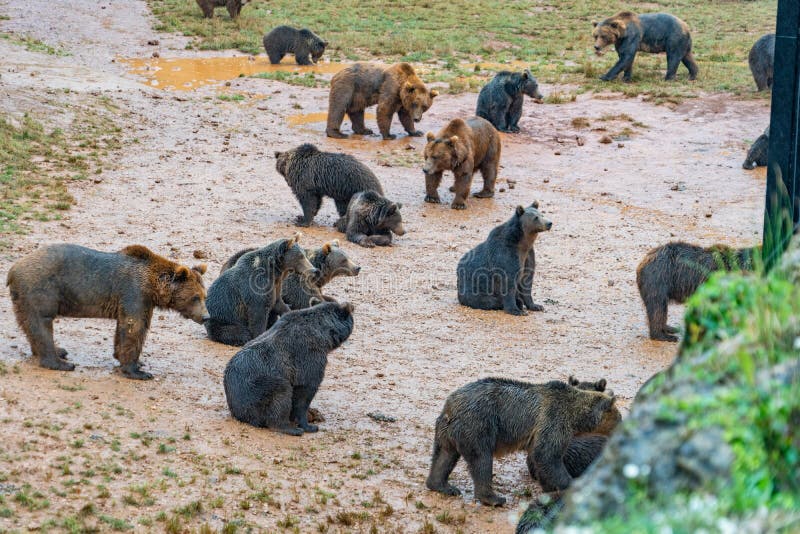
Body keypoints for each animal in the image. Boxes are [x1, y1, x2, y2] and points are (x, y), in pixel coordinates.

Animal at [6, 244, 208, 380]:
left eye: (204, 295)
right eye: (195, 297)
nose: (206, 316)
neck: (153, 287)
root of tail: (13, 270)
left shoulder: (141, 301)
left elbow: (125, 328)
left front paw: (131, 359)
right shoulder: (134, 293)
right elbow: (134, 328)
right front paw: (139, 371)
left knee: (30, 325)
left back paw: (58, 351)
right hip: (41, 290)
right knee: (42, 324)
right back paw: (60, 362)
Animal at [223, 299, 354, 435]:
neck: (324, 336)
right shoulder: (308, 355)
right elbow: (304, 391)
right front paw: (308, 425)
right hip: (258, 388)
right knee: (281, 394)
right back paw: (291, 428)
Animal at [425, 377, 621, 506]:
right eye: (619, 417)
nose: (622, 425)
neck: (577, 417)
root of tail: (450, 407)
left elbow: (539, 457)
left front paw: (550, 487)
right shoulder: (553, 419)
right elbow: (547, 455)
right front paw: (570, 484)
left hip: (446, 431)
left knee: (444, 456)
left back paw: (442, 486)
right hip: (478, 426)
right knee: (482, 460)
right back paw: (494, 498)